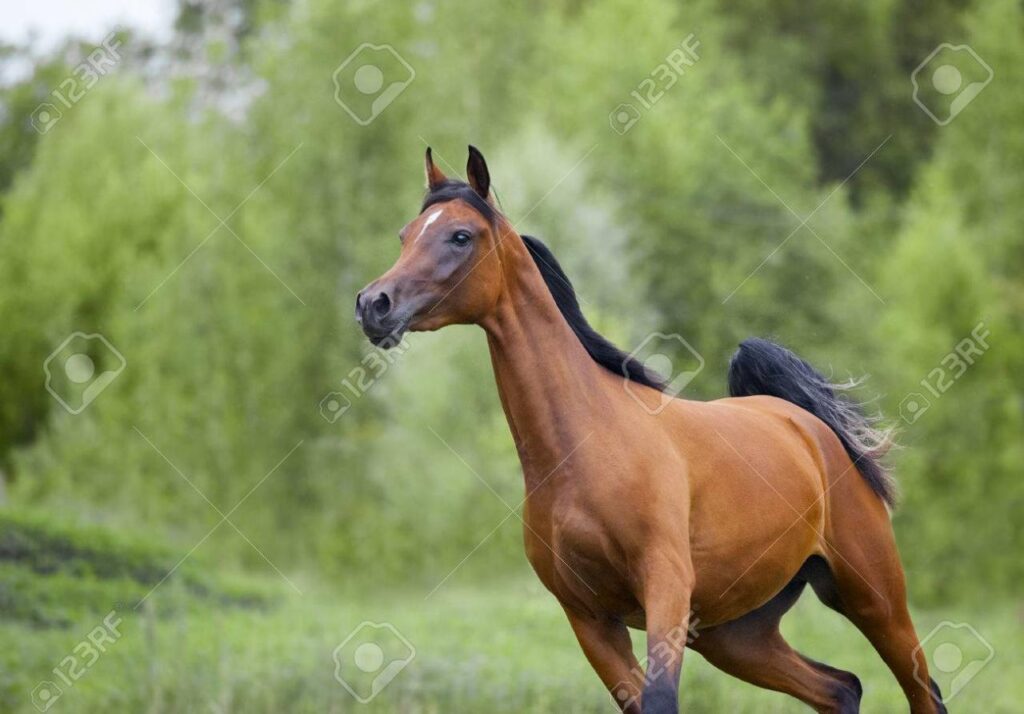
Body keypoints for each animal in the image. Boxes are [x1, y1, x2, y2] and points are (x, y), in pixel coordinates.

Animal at [355, 146, 946, 713]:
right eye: (406, 234)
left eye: (461, 236)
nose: (373, 305)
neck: (585, 444)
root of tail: (809, 428)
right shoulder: (589, 618)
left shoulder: (665, 591)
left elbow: (662, 700)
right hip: (736, 635)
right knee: (841, 687)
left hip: (873, 599)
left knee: (923, 691)